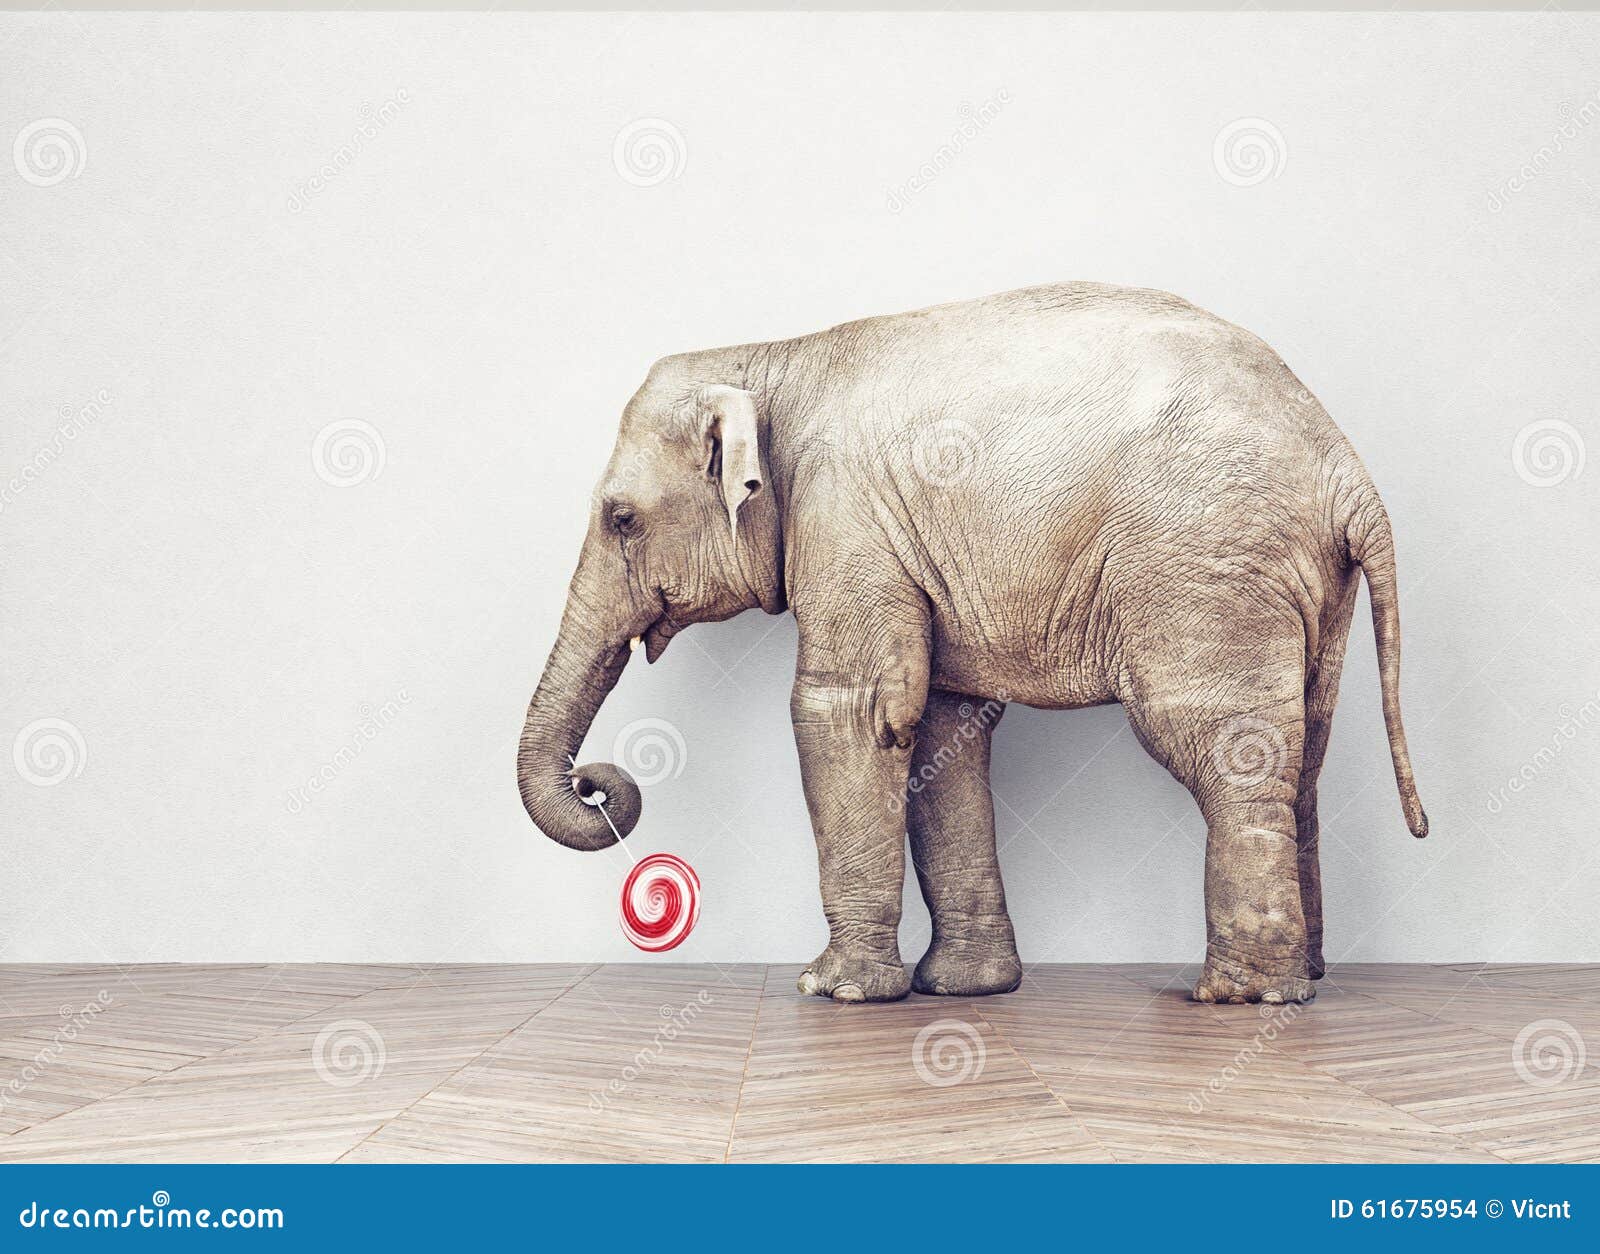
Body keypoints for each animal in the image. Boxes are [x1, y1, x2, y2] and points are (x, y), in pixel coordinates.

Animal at [517, 282, 1428, 1006]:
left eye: (620, 519)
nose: (601, 784)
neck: (776, 358)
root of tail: (1345, 468)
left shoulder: (846, 518)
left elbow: (844, 712)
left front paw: (834, 990)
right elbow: (940, 729)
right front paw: (963, 989)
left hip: (1205, 567)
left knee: (1225, 753)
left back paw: (1240, 997)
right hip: (1307, 588)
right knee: (1303, 753)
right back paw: (1304, 978)